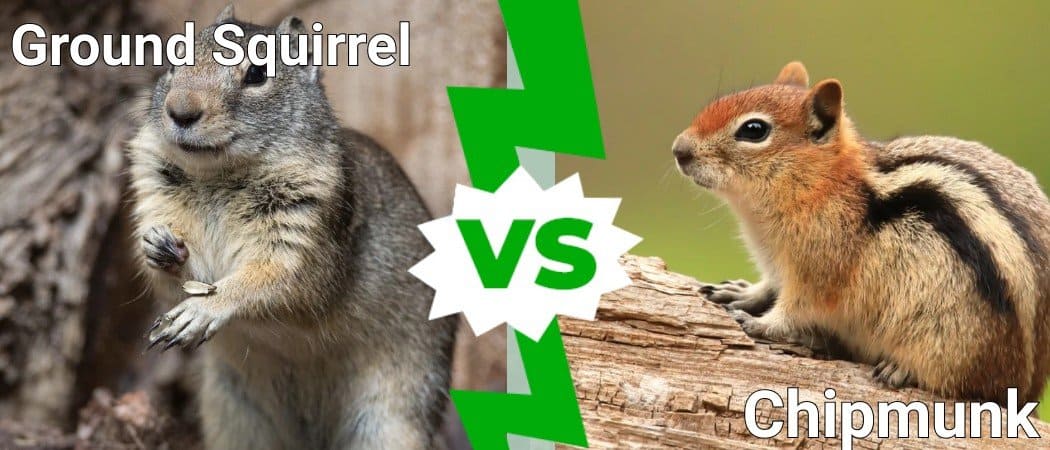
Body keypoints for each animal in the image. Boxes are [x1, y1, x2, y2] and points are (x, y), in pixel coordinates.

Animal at [127, 6, 456, 449]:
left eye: (257, 74)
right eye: (174, 60)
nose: (180, 110)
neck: (217, 177)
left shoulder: (307, 242)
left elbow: (275, 284)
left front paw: (203, 309)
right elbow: (168, 281)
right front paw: (159, 245)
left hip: (393, 420)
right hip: (235, 416)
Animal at [672, 61, 1050, 404]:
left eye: (753, 130)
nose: (679, 150)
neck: (822, 185)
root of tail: (1028, 388)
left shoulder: (819, 270)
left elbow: (794, 309)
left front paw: (759, 323)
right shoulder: (777, 266)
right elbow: (768, 287)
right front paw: (740, 292)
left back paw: (901, 368)